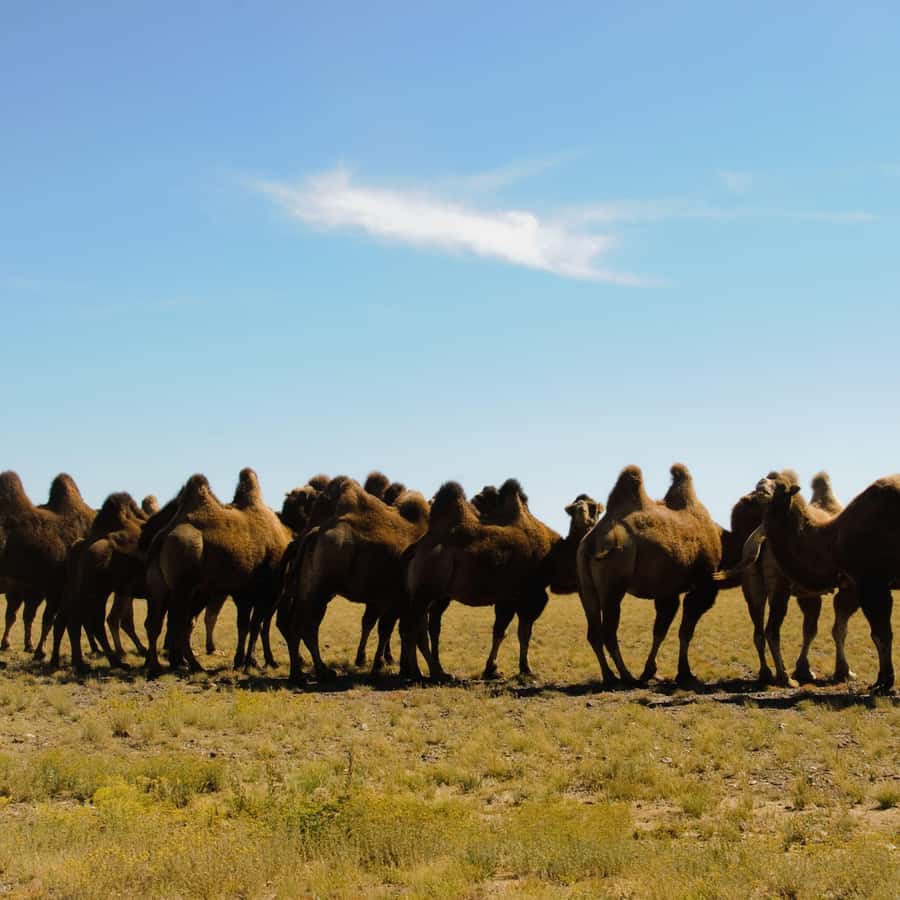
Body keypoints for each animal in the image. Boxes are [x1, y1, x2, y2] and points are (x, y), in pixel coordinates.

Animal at [0, 472, 95, 659]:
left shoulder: (30, 588)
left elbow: (20, 615)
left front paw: (23, 646)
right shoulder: (56, 588)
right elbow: (49, 619)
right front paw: (40, 651)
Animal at [403, 479, 560, 681]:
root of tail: (417, 547)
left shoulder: (508, 598)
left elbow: (504, 631)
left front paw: (495, 669)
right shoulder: (521, 596)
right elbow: (518, 632)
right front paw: (522, 669)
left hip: (429, 595)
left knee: (420, 628)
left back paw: (433, 671)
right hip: (425, 592)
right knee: (412, 628)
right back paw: (423, 673)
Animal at [576, 464, 722, 688]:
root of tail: (591, 542)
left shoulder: (667, 590)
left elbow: (660, 630)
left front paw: (652, 671)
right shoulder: (702, 584)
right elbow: (685, 630)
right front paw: (685, 673)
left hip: (586, 588)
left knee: (594, 633)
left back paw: (609, 676)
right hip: (614, 587)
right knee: (608, 632)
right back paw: (626, 676)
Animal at [725, 472, 897, 693]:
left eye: (782, 487)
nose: (760, 489)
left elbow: (817, 629)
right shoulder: (862, 583)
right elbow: (862, 631)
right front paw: (872, 679)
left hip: (754, 585)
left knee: (759, 630)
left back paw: (767, 674)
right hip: (775, 585)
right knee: (770, 630)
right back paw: (784, 678)